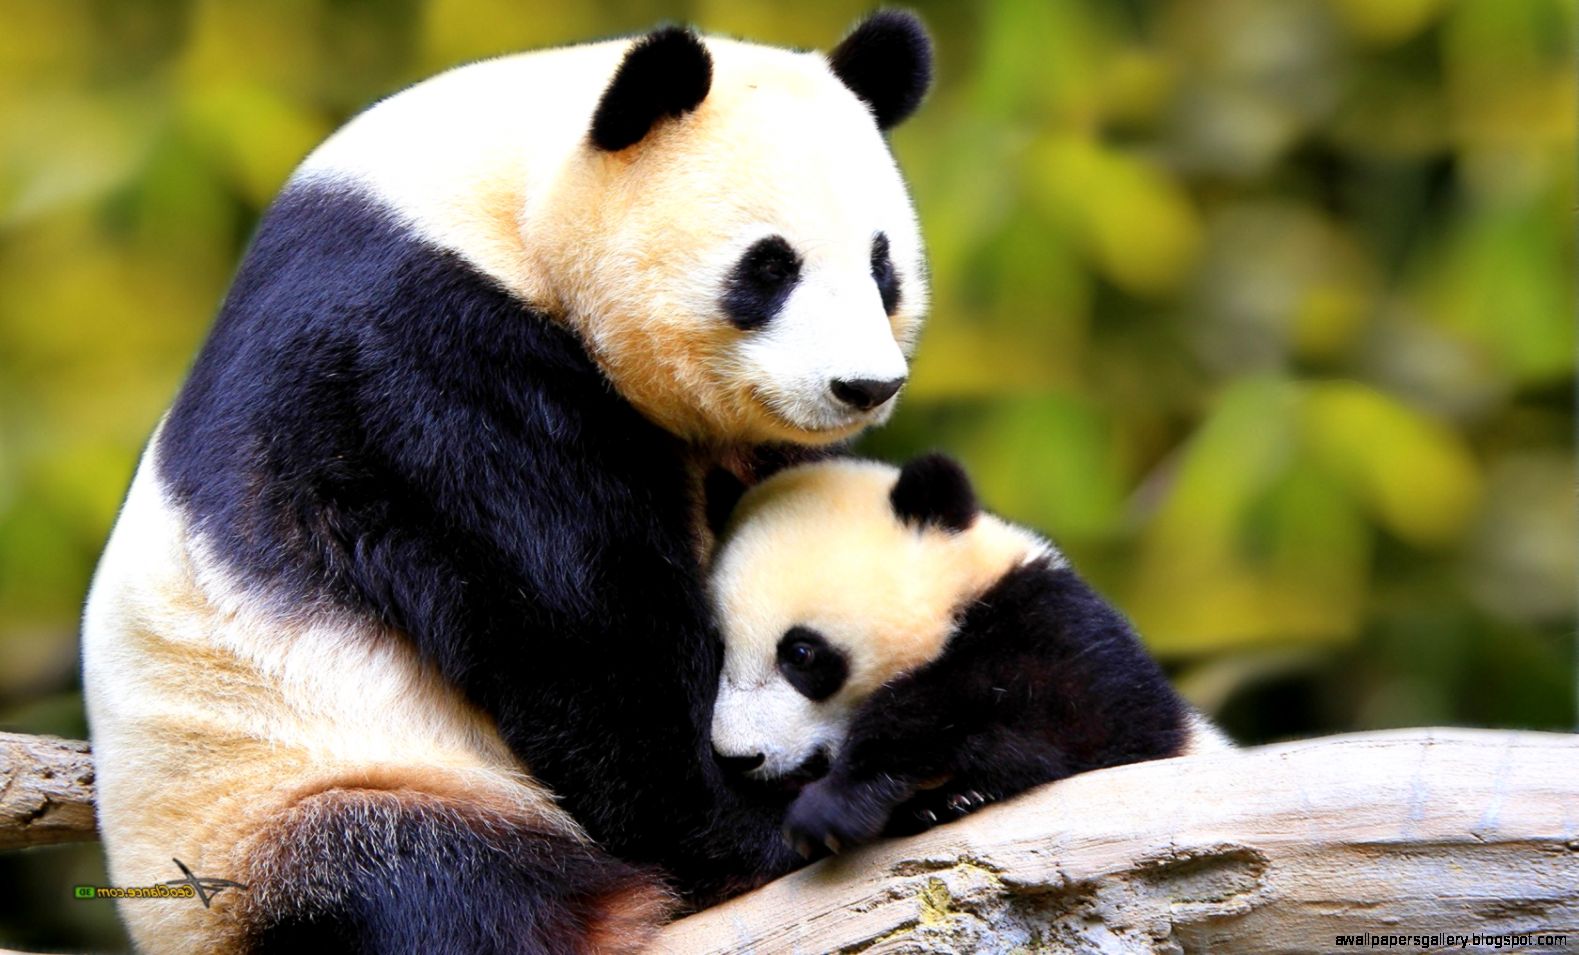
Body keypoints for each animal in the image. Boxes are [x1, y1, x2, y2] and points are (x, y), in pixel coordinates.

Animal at [81, 13, 932, 954]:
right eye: (769, 268)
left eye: (881, 265)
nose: (863, 386)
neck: (502, 200)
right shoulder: (420, 353)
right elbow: (579, 623)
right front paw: (767, 824)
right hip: (282, 798)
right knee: (418, 881)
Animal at [707, 454, 1229, 858]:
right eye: (721, 650)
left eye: (801, 654)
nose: (739, 757)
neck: (962, 596)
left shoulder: (1062, 629)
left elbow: (1067, 717)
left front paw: (835, 806)